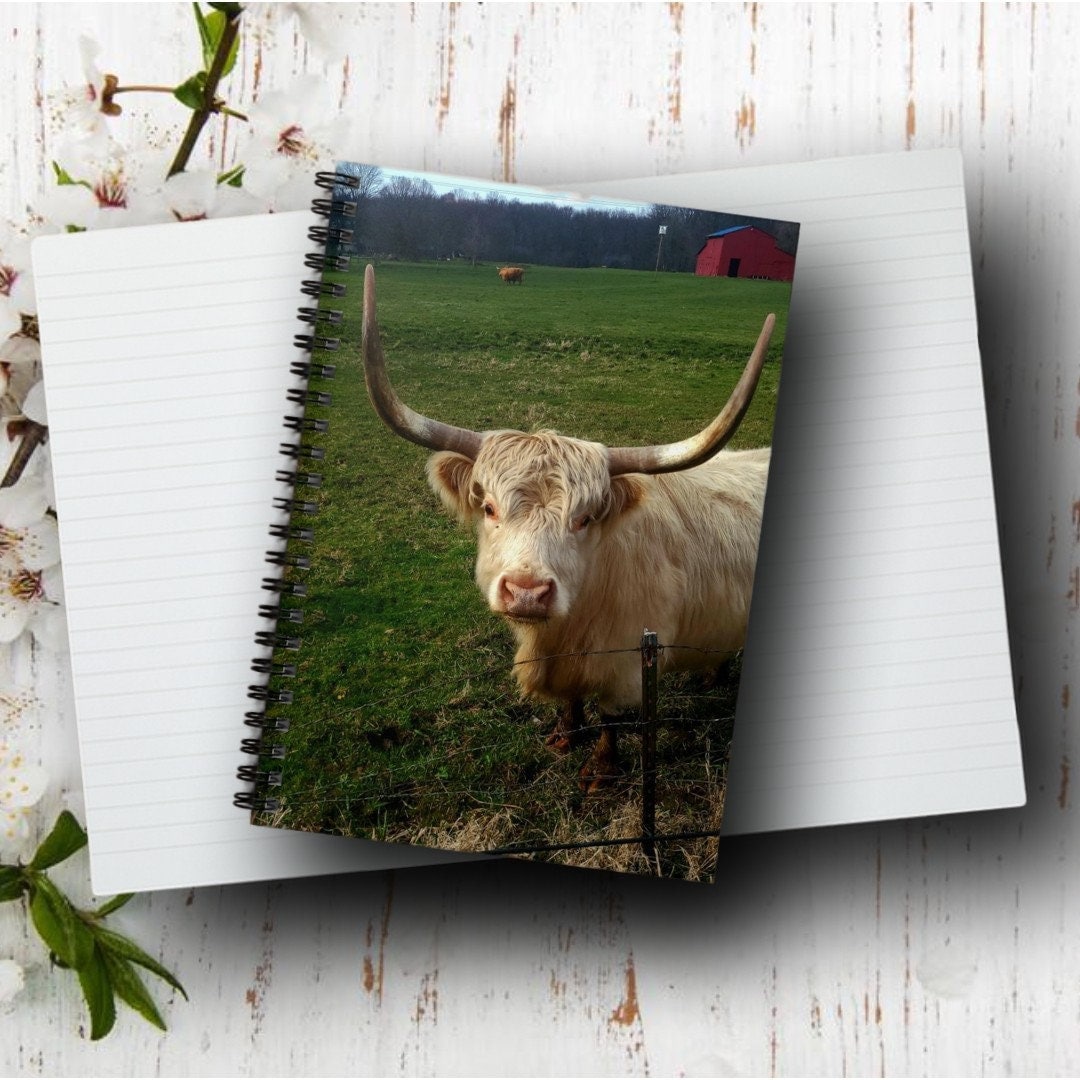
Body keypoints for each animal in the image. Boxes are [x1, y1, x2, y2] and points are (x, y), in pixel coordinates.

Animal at [361, 265, 775, 790]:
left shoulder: (626, 662)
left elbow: (611, 715)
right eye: (490, 508)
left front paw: (601, 770)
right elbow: (571, 701)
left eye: (584, 518)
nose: (527, 593)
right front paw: (563, 734)